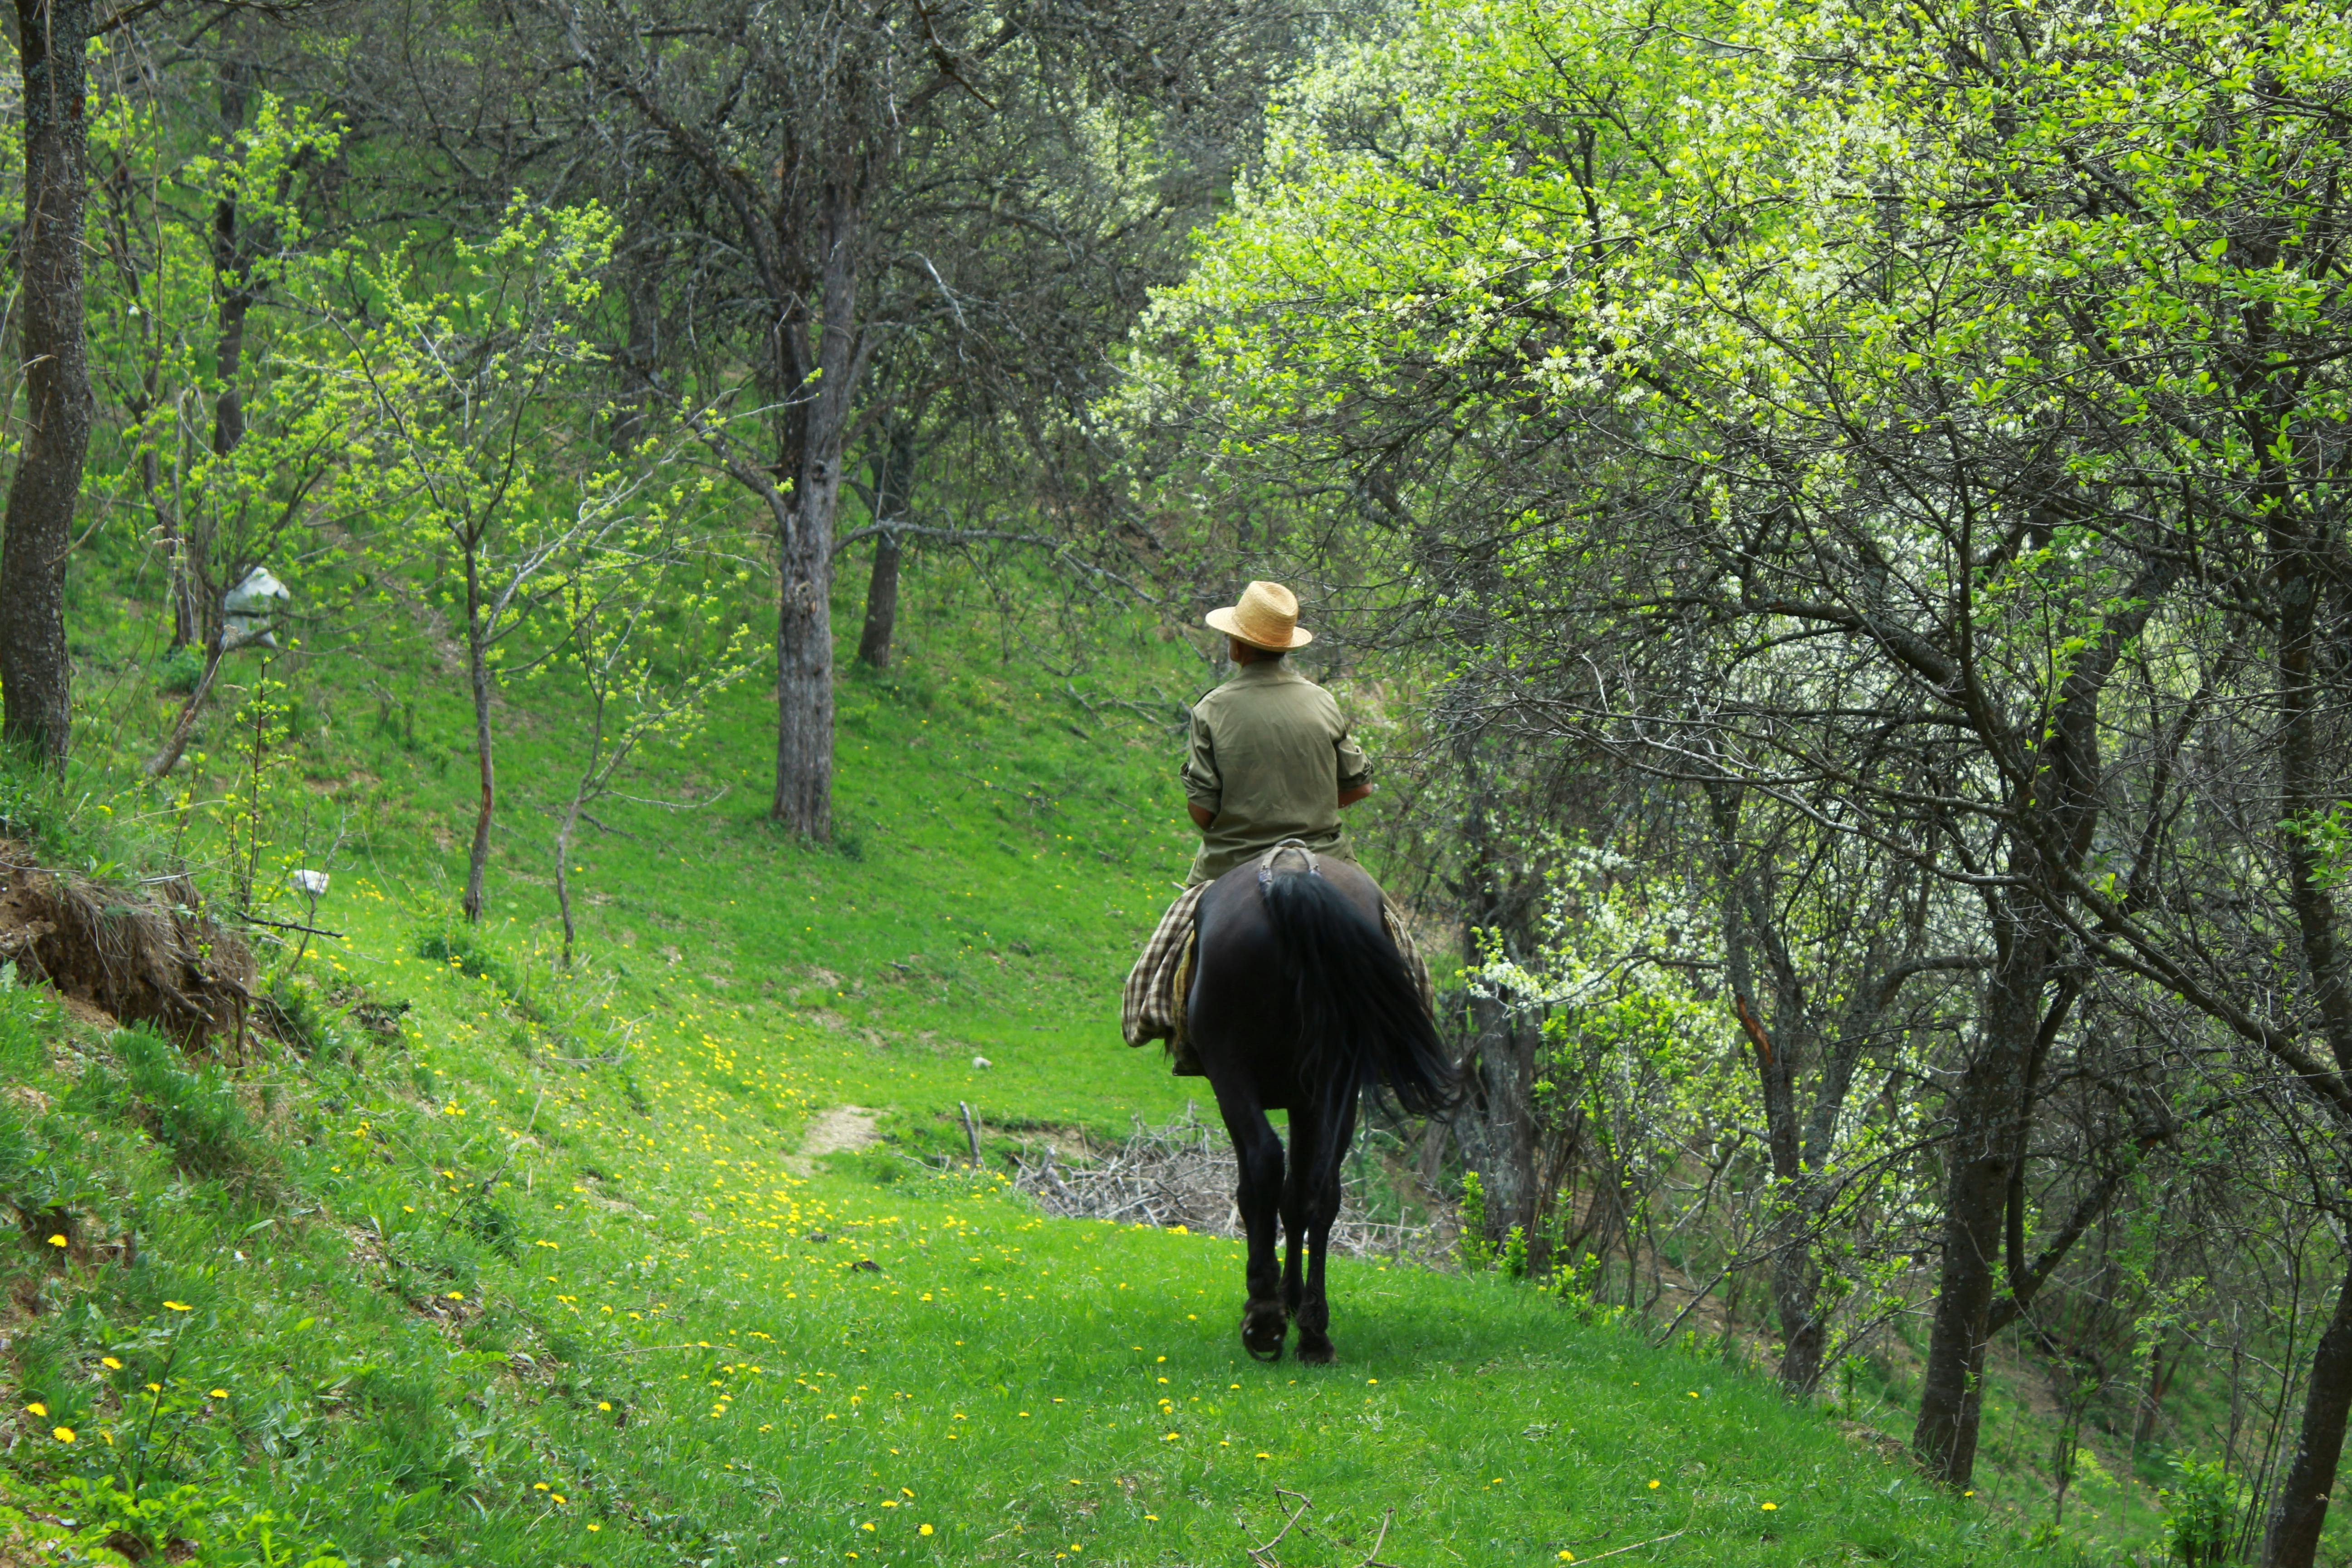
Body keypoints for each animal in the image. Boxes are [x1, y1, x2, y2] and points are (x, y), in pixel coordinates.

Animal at [1184, 843, 1456, 1363]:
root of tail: (1291, 876)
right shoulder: (1306, 1097)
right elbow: (1299, 1198)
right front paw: (1293, 1301)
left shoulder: (1239, 1089)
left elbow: (1258, 1191)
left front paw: (1274, 1300)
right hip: (1336, 1081)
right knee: (1322, 1186)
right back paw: (1313, 1332)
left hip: (1231, 1070)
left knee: (1266, 1164)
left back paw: (1264, 1320)